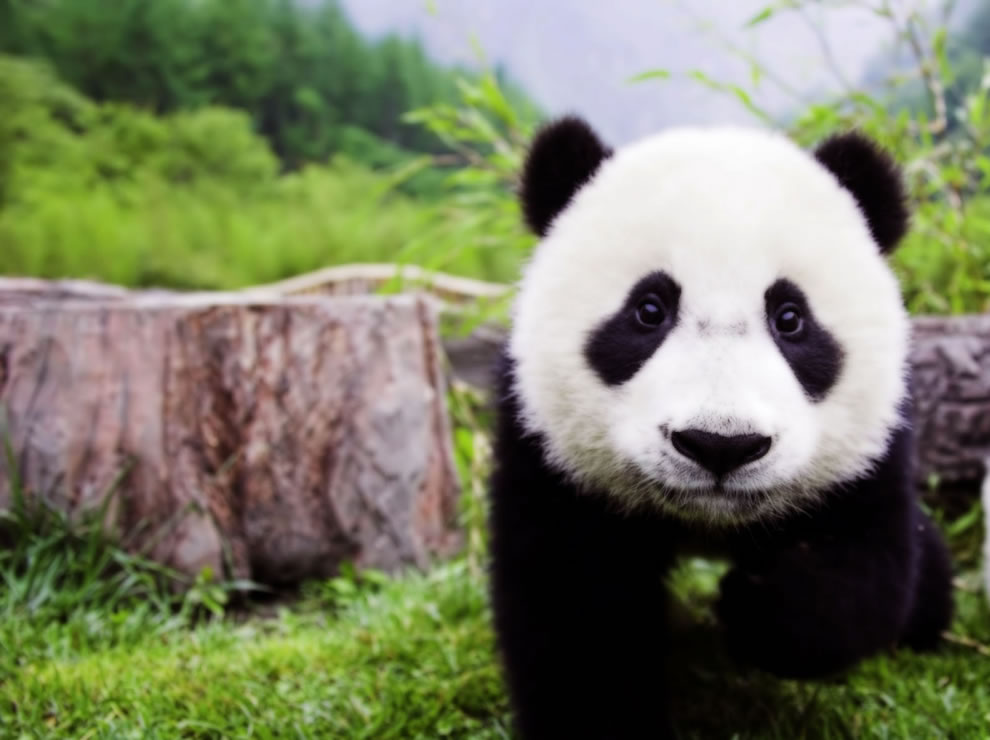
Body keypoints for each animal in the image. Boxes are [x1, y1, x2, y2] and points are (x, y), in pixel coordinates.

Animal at [488, 116, 955, 739]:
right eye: (649, 310)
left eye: (790, 318)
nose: (720, 445)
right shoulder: (547, 448)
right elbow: (574, 610)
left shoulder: (871, 451)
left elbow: (861, 570)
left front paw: (756, 606)